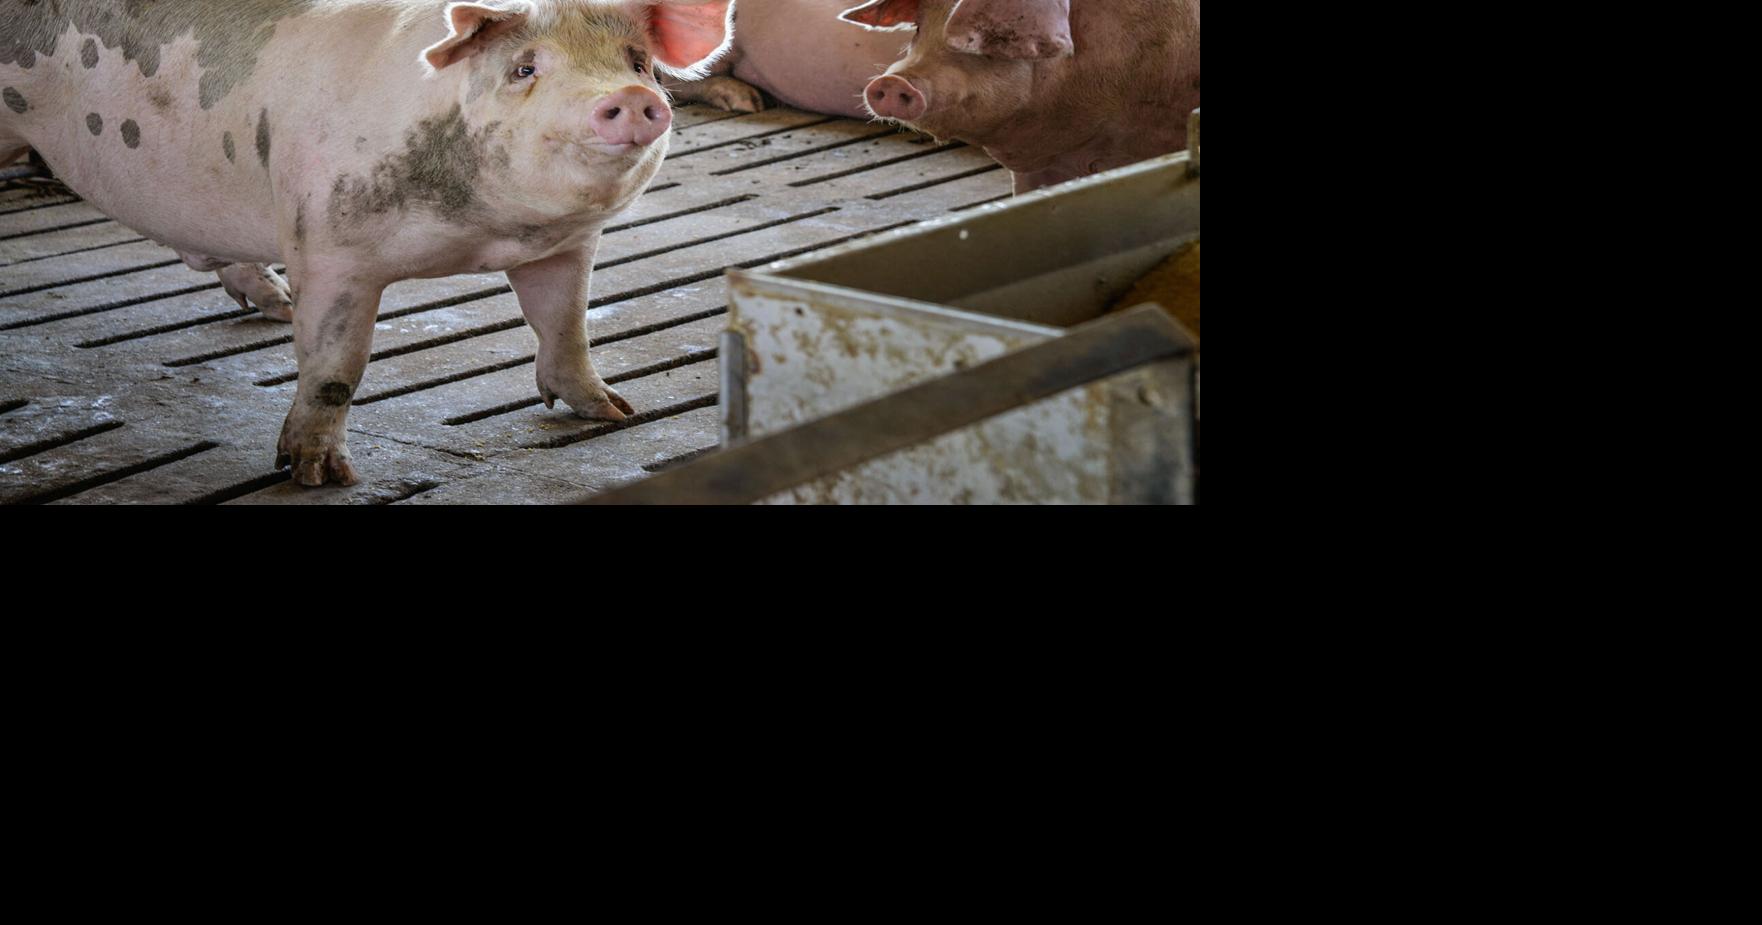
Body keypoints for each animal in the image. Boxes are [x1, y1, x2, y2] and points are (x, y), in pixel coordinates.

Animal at [0, 0, 733, 486]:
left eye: (638, 61)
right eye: (525, 68)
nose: (630, 97)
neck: (486, 233)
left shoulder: (563, 249)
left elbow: (567, 326)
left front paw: (615, 411)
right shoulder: (328, 246)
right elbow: (335, 370)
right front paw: (318, 477)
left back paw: (271, 302)